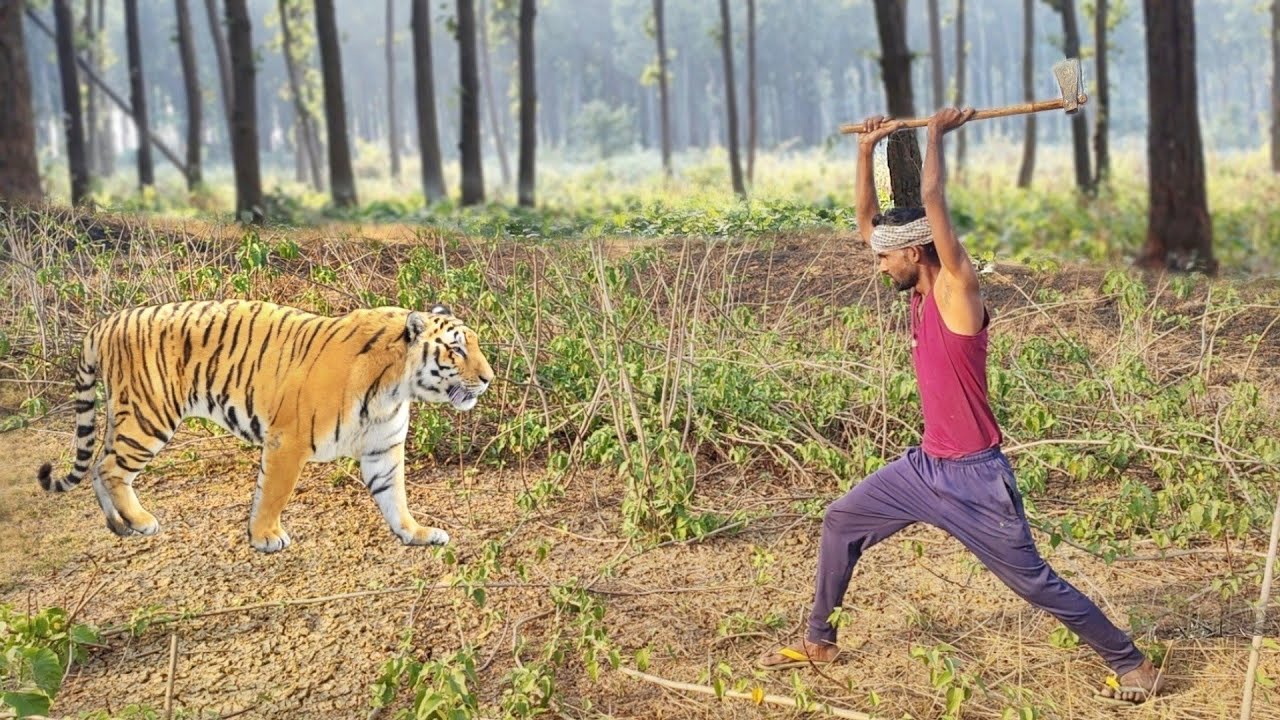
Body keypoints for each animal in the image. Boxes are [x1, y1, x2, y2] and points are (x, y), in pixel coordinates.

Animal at [36, 299, 493, 553]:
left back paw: (120, 526)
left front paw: (416, 533)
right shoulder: (287, 442)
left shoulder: (382, 449)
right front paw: (265, 538)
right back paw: (141, 520)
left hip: (124, 415)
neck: (396, 388)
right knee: (111, 468)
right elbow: (273, 493)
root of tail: (108, 321)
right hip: (149, 416)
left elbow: (395, 497)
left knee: (98, 465)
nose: (489, 378)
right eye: (456, 349)